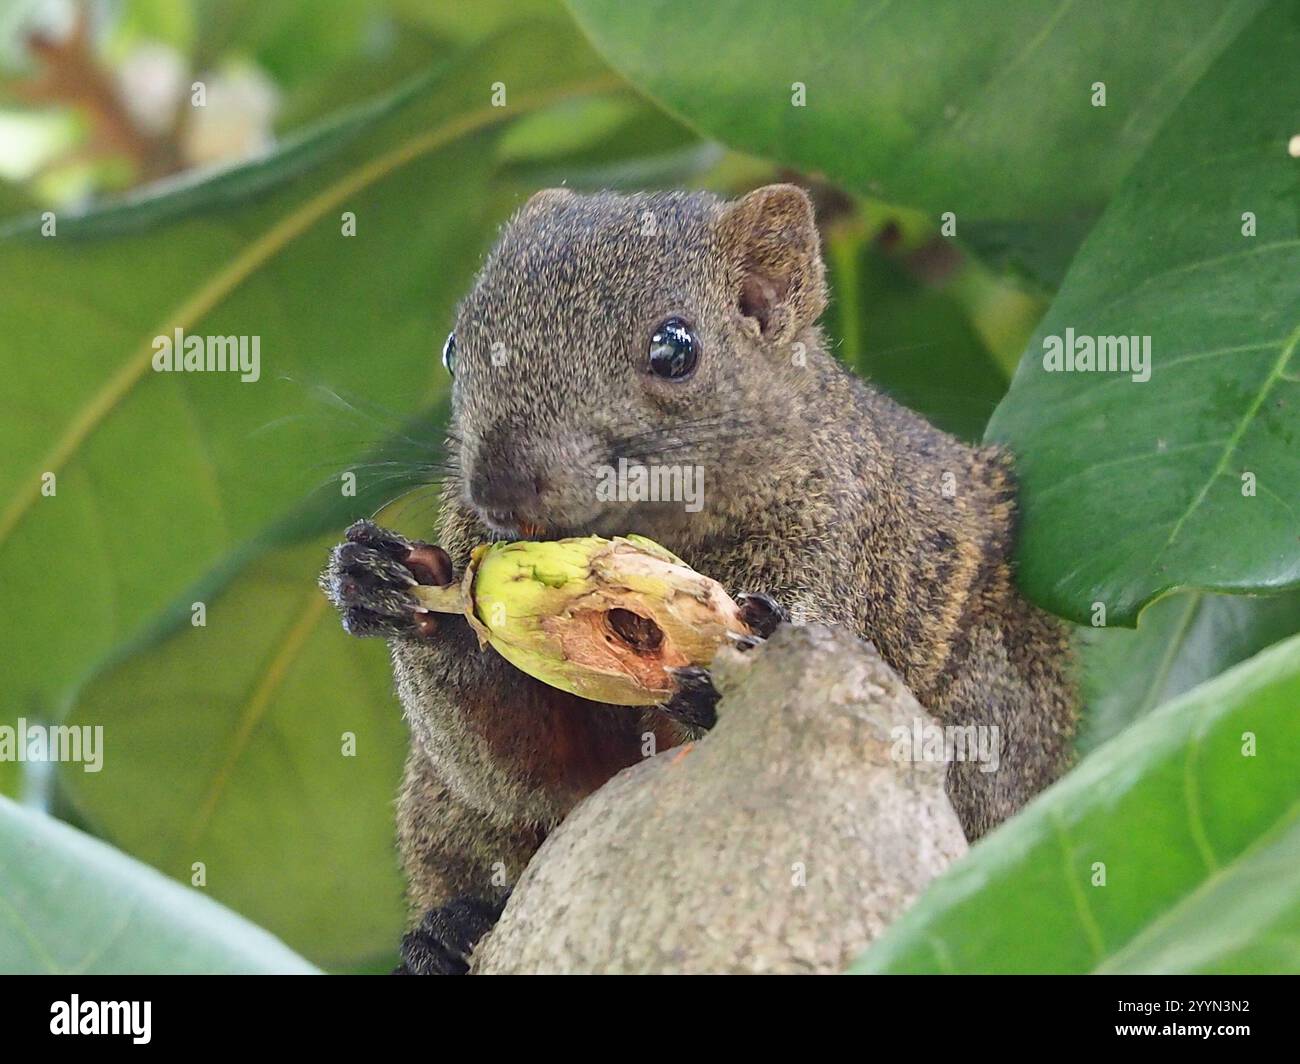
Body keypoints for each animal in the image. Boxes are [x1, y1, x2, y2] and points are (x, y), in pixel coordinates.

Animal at [321, 184, 1077, 974]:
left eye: (674, 348)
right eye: (452, 351)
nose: (496, 486)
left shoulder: (832, 536)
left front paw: (732, 669)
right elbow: (517, 768)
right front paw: (397, 587)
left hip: (989, 712)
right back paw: (452, 927)